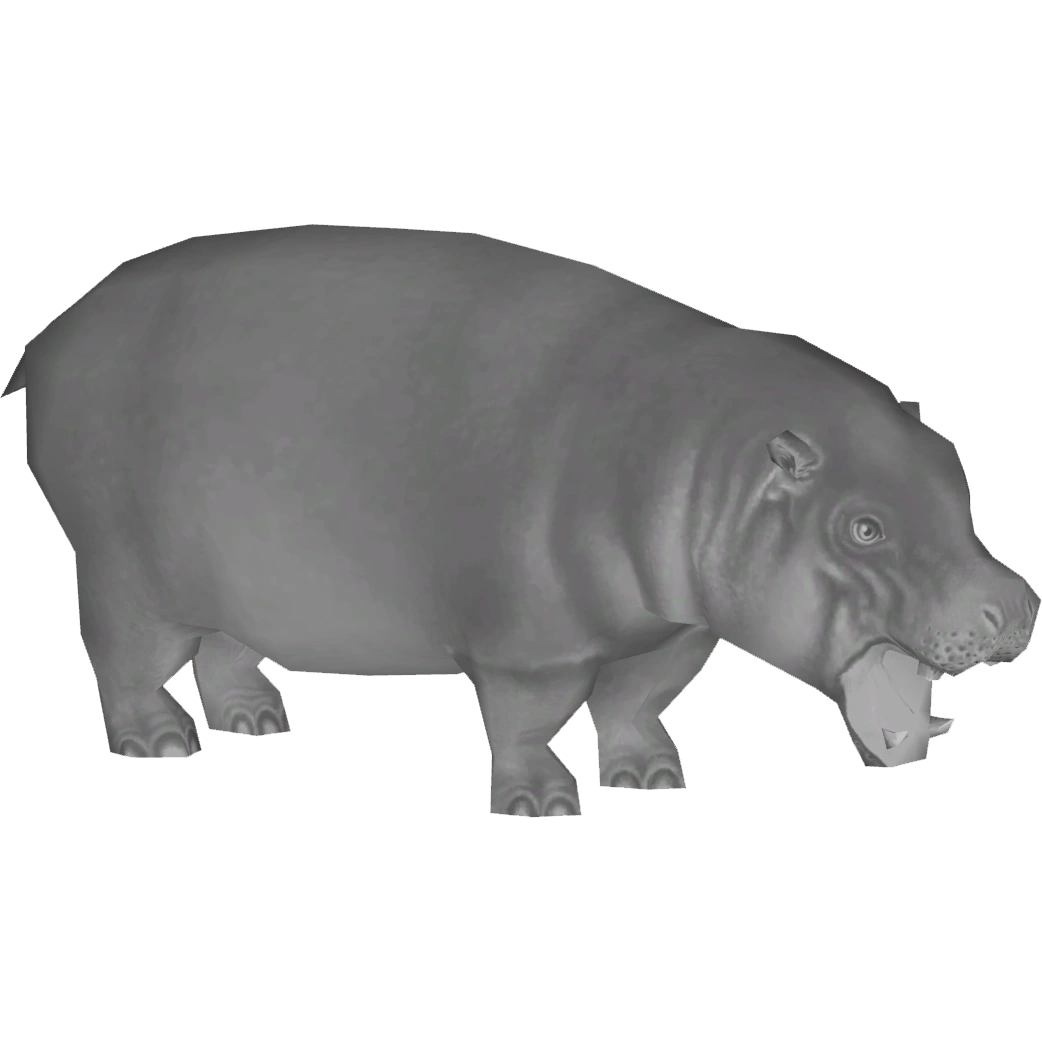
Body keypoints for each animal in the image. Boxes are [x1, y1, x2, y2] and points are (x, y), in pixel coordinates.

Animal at [3, 224, 1037, 819]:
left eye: (957, 474)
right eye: (862, 528)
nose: (1017, 606)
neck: (707, 450)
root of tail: (52, 327)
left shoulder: (676, 626)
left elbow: (637, 699)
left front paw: (651, 782)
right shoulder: (531, 642)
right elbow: (532, 718)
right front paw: (542, 805)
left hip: (224, 574)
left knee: (220, 643)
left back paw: (259, 723)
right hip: (121, 564)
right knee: (127, 657)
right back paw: (160, 747)